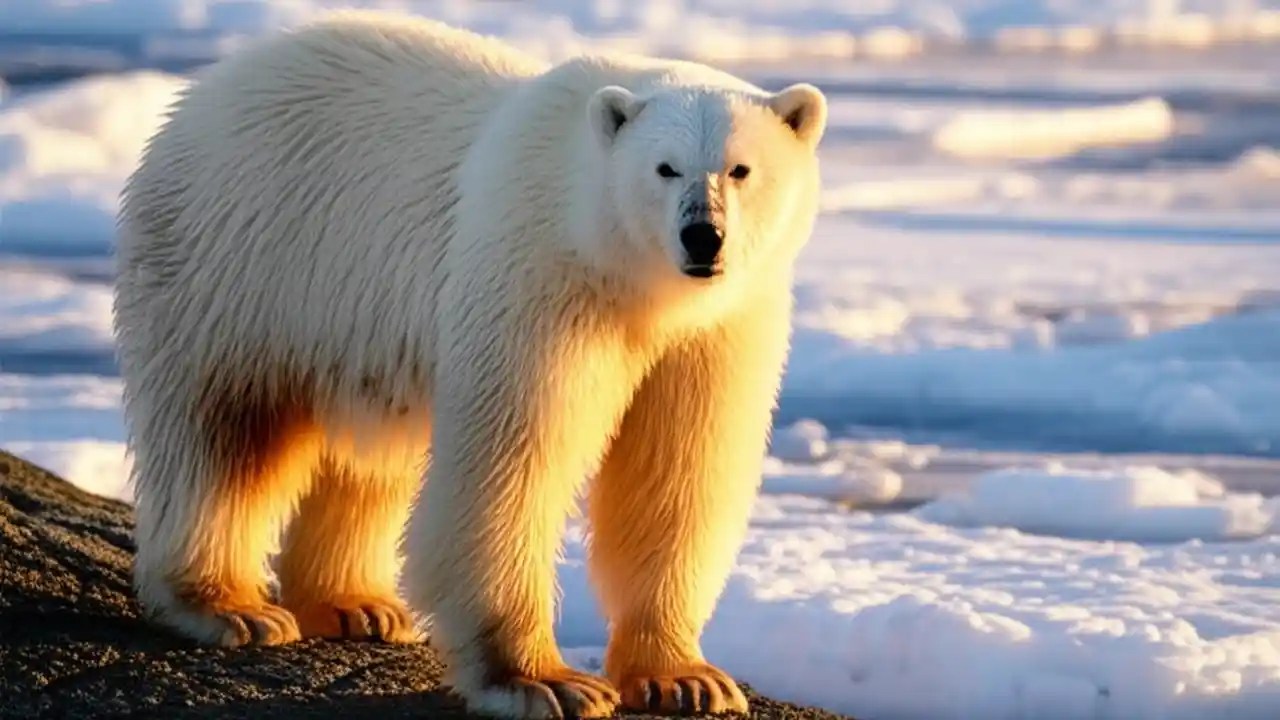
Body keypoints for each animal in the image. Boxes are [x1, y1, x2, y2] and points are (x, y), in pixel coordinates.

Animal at [113, 10, 826, 719]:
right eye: (665, 168)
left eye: (740, 168)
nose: (703, 236)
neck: (631, 281)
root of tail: (203, 89)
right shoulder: (542, 280)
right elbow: (512, 461)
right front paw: (544, 681)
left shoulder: (720, 327)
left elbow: (680, 470)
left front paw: (686, 678)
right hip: (242, 255)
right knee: (224, 433)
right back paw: (230, 607)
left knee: (373, 456)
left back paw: (355, 604)